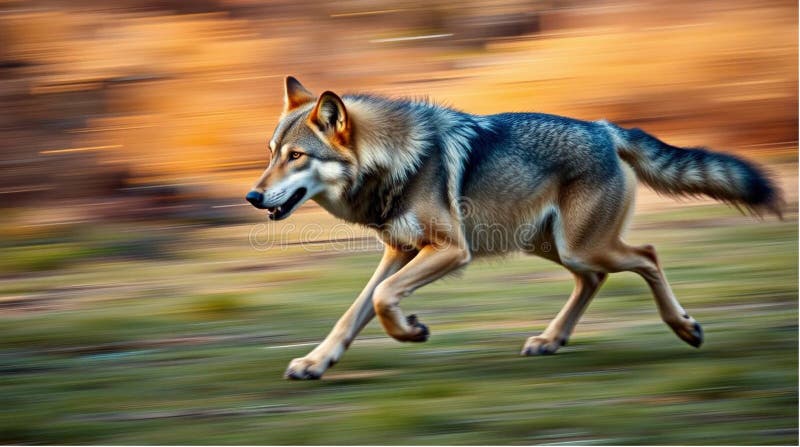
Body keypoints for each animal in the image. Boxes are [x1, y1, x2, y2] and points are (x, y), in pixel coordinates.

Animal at [246, 76, 782, 380]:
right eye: (271, 153)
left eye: (296, 156)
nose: (252, 197)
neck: (394, 162)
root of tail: (604, 128)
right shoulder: (399, 252)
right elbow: (354, 312)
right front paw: (315, 363)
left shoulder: (449, 249)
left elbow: (381, 300)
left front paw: (411, 332)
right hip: (548, 245)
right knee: (595, 279)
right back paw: (551, 340)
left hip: (579, 246)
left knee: (647, 254)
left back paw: (684, 327)